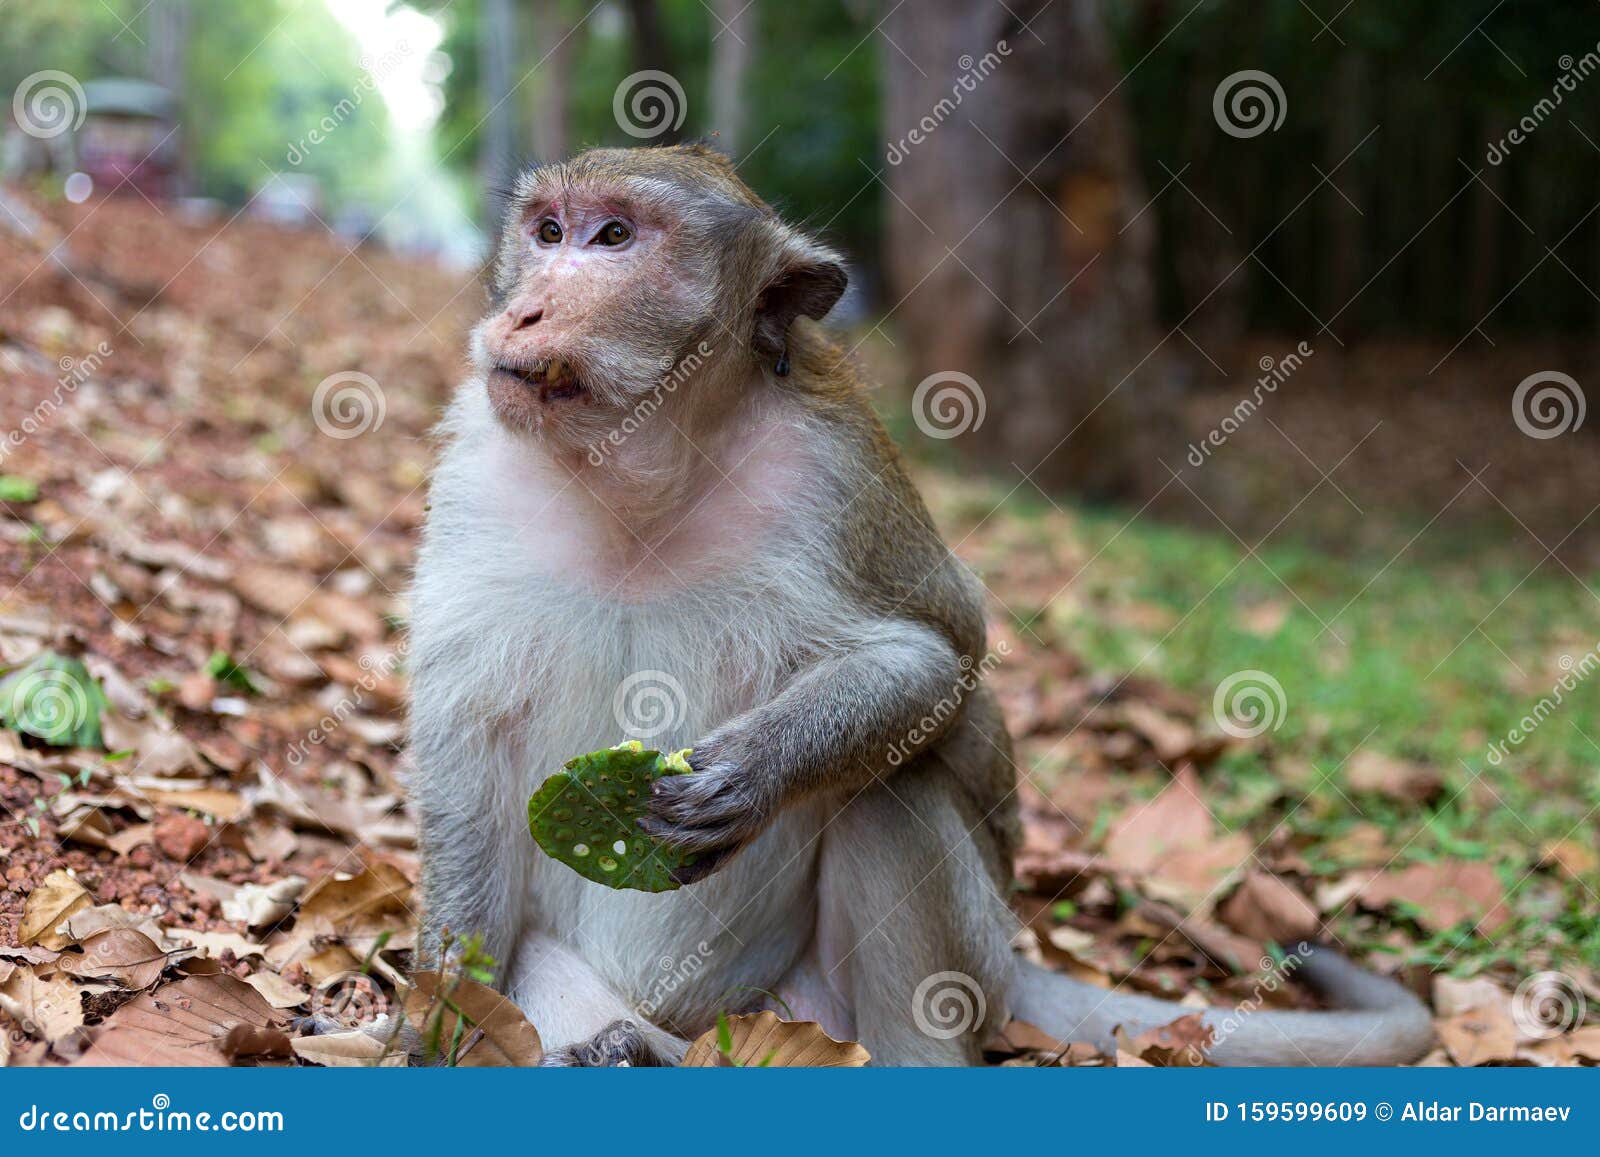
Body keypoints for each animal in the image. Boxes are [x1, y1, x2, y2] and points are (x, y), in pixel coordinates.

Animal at [406, 143, 1435, 1067]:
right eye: (547, 232)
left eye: (614, 237)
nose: (525, 307)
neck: (638, 480)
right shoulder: (478, 474)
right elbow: (465, 753)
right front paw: (429, 1025)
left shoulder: (835, 477)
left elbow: (937, 659)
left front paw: (751, 773)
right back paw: (621, 1046)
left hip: (890, 975)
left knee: (891, 791)